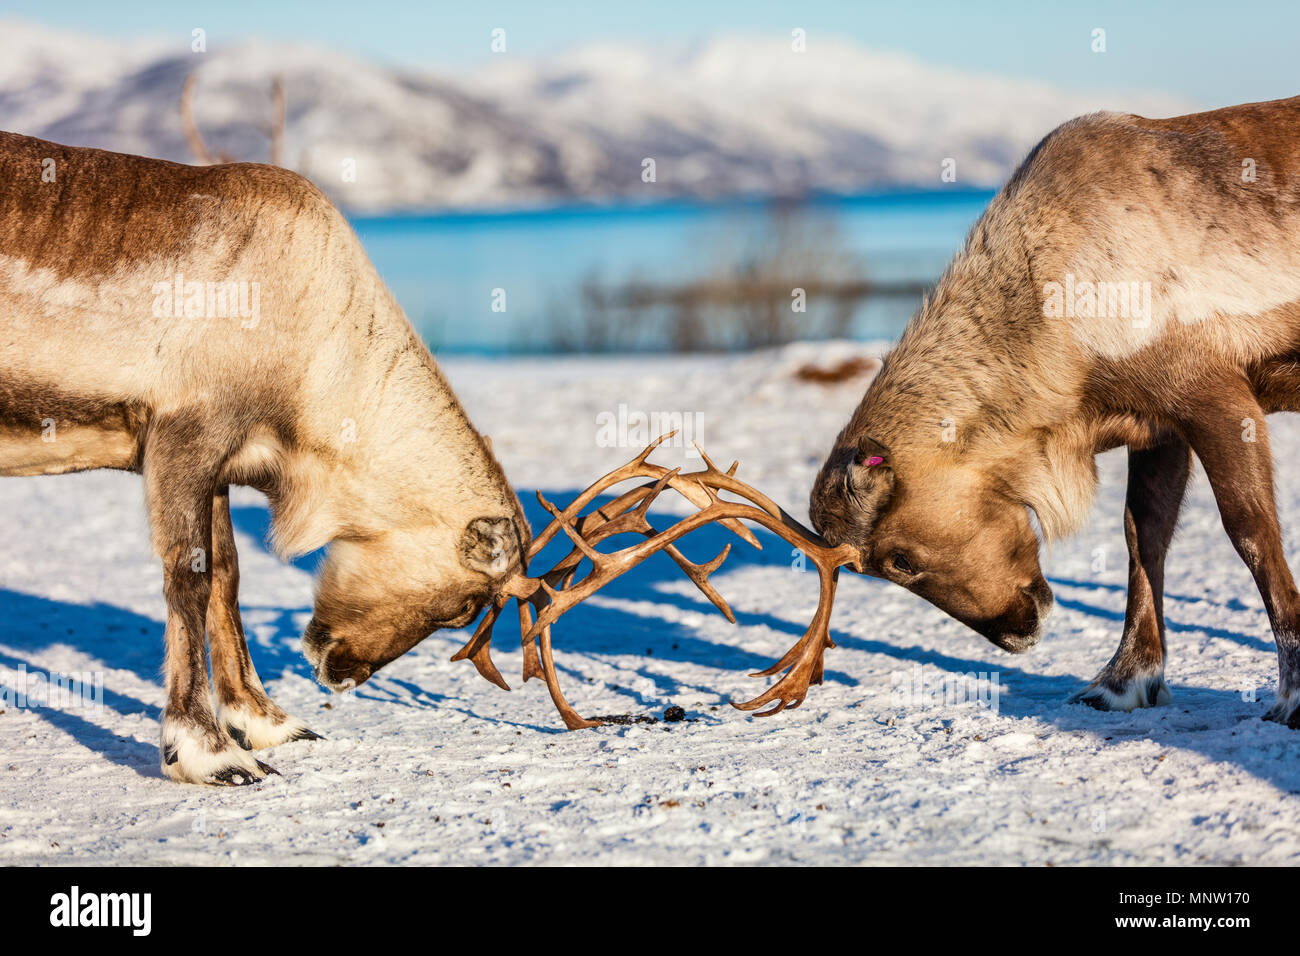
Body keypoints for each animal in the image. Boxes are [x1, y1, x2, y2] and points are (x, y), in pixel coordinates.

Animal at [0, 130, 530, 784]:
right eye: (463, 609)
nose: (343, 675)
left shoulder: (223, 463)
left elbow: (227, 576)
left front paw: (268, 722)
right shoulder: (181, 437)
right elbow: (189, 580)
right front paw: (207, 751)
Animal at [809, 96, 1300, 728]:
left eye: (900, 559)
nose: (1017, 633)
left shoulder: (1217, 395)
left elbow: (1252, 533)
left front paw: (1293, 694)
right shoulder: (1157, 425)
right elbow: (1143, 536)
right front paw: (1123, 680)